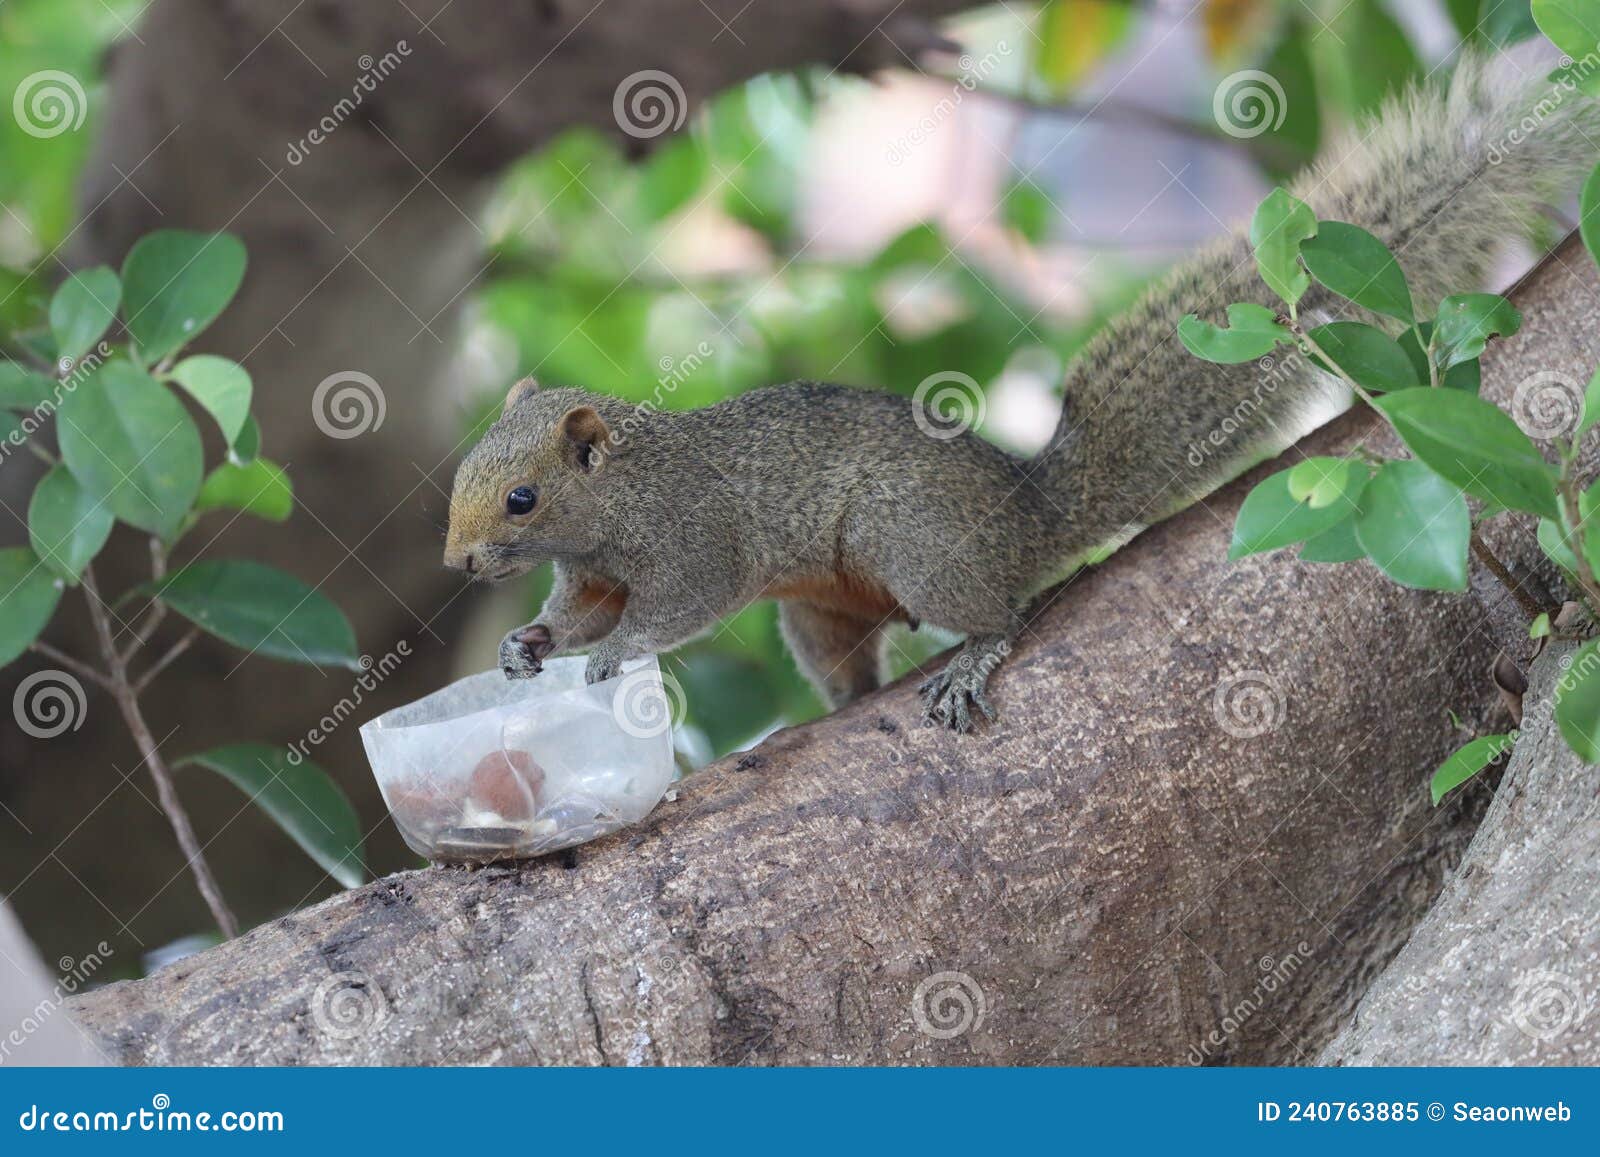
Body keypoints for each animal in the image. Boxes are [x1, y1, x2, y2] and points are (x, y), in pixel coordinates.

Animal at [445, 56, 1600, 733]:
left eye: (521, 498)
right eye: (460, 478)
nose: (458, 564)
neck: (615, 498)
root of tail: (1028, 509)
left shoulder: (693, 538)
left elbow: (672, 606)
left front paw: (613, 655)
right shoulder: (595, 570)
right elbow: (577, 609)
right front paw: (528, 644)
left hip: (917, 543)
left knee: (1007, 605)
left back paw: (976, 656)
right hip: (820, 610)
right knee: (851, 662)